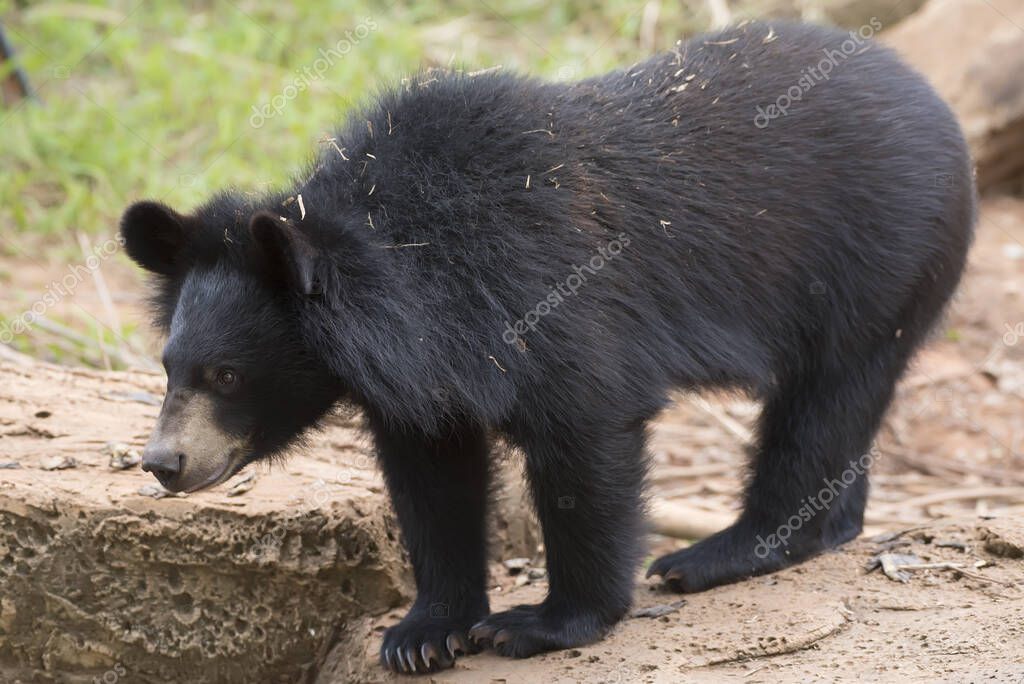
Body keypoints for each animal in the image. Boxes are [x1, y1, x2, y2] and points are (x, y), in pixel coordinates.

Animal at [121, 20, 974, 675]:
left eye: (227, 375)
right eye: (168, 367)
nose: (163, 464)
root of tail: (932, 98)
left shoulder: (545, 293)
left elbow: (584, 441)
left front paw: (539, 625)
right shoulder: (422, 378)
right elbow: (434, 483)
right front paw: (422, 636)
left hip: (875, 262)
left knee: (823, 402)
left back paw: (713, 556)